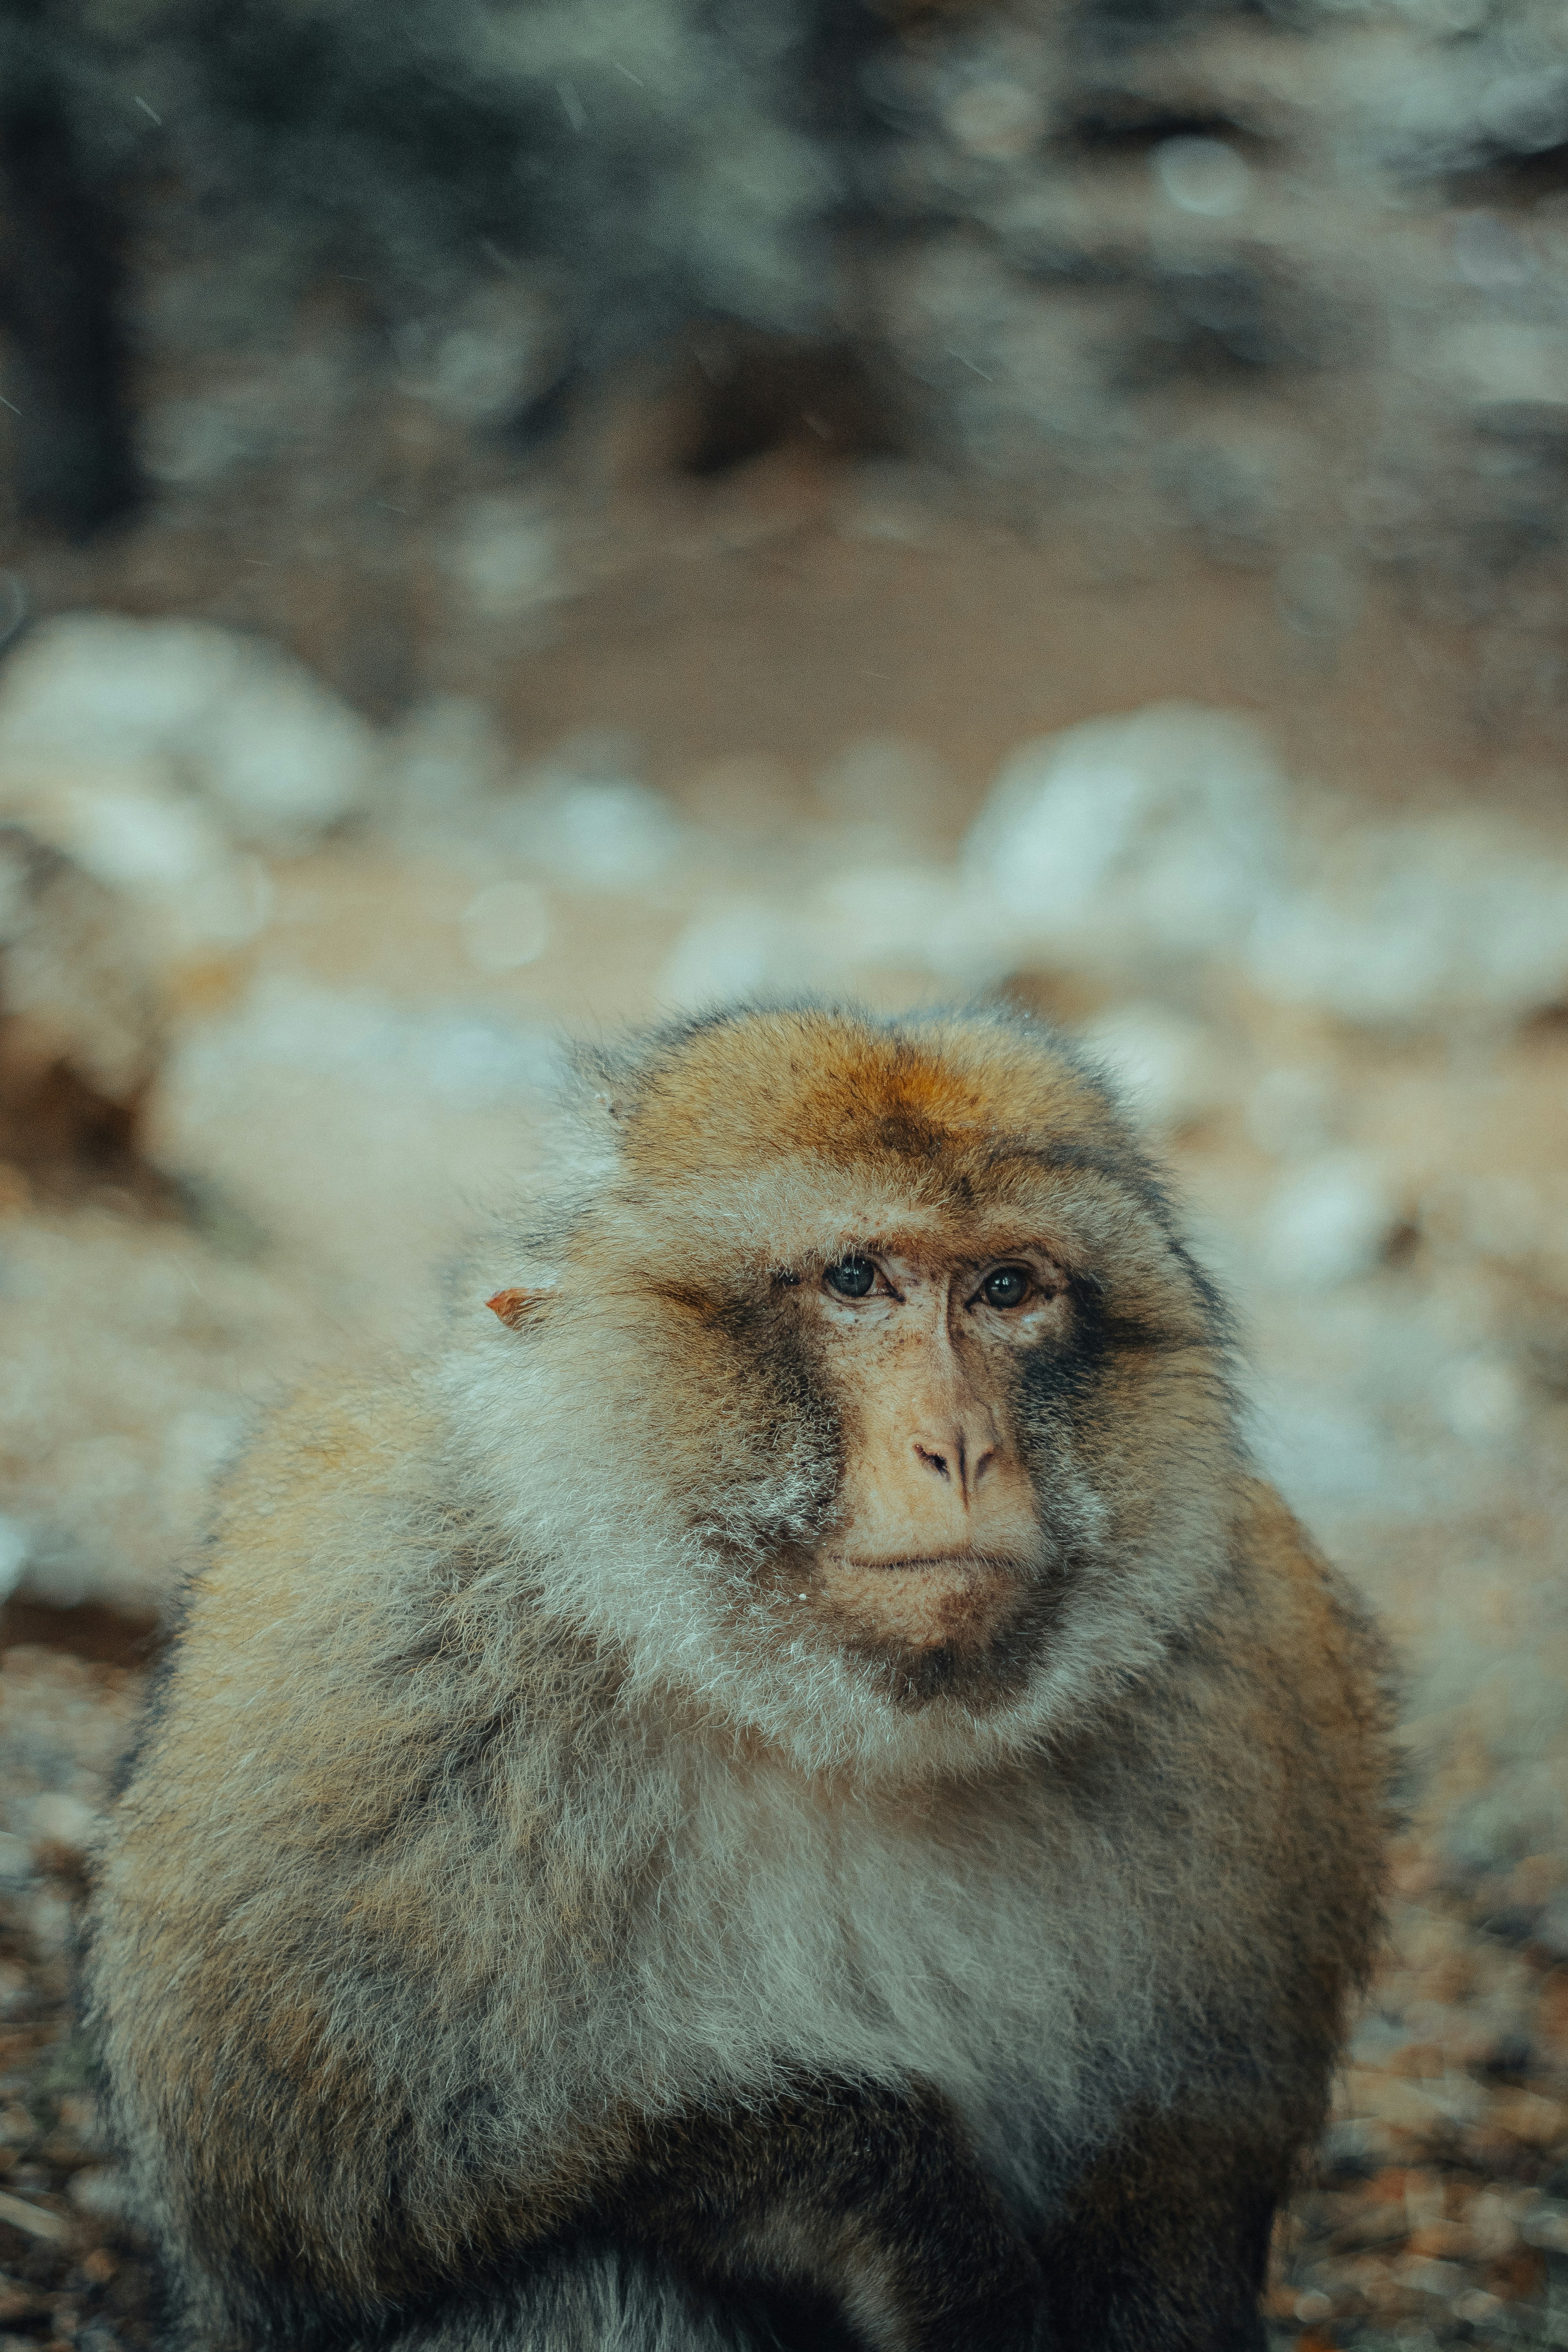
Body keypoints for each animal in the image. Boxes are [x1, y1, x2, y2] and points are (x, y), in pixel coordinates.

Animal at [85, 1002, 1390, 2352]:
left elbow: (1187, 2166)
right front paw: (917, 2220)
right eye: (857, 1279)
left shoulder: (1257, 1676)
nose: (961, 1447)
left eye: (1008, 1288)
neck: (830, 1725)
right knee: (582, 2282)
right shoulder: (357, 1657)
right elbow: (302, 2199)